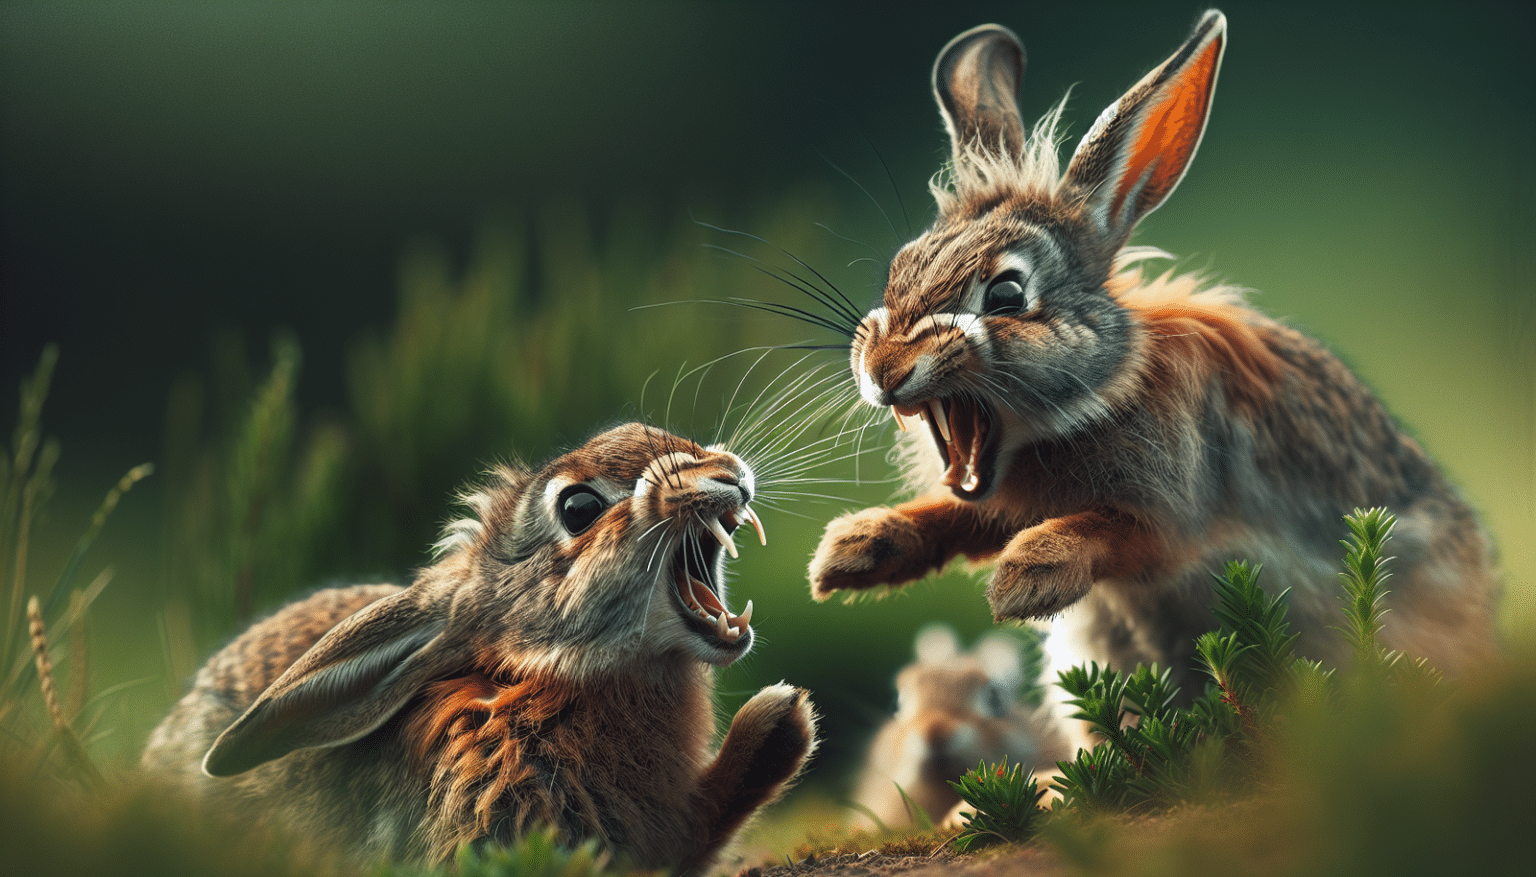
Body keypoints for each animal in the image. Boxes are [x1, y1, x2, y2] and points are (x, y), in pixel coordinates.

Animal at [807, 10, 1499, 749]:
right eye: (899, 268)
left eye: (1005, 294)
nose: (883, 370)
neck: (1096, 397)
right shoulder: (998, 503)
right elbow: (956, 517)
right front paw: (852, 551)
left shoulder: (1174, 508)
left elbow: (1115, 532)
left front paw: (1025, 579)